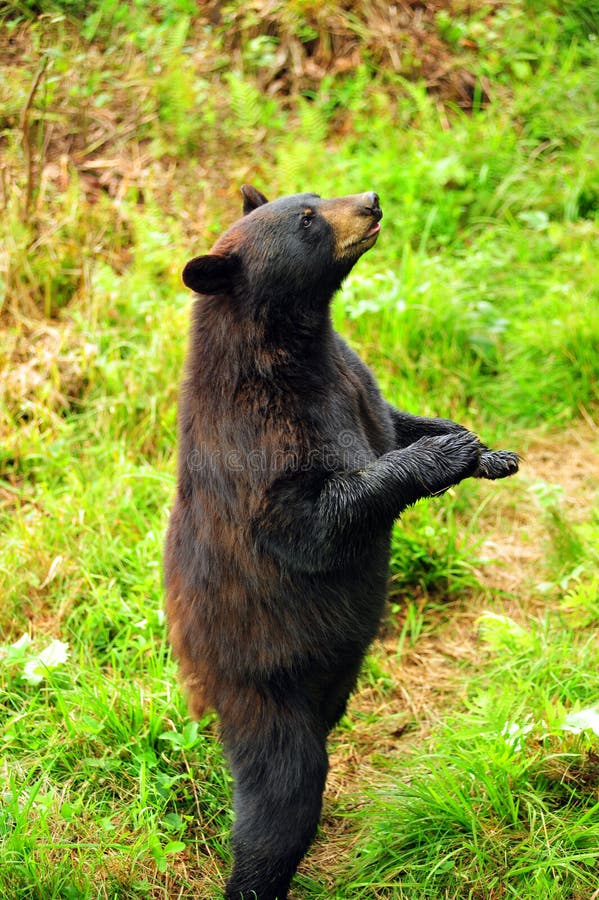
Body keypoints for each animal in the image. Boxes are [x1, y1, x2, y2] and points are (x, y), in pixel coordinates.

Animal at [164, 185, 519, 900]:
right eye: (306, 220)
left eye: (311, 195)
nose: (373, 200)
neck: (297, 349)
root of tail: (199, 679)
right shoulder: (261, 437)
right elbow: (314, 519)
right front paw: (447, 455)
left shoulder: (352, 377)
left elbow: (395, 418)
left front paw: (483, 448)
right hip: (261, 686)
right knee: (280, 800)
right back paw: (256, 876)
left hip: (331, 679)